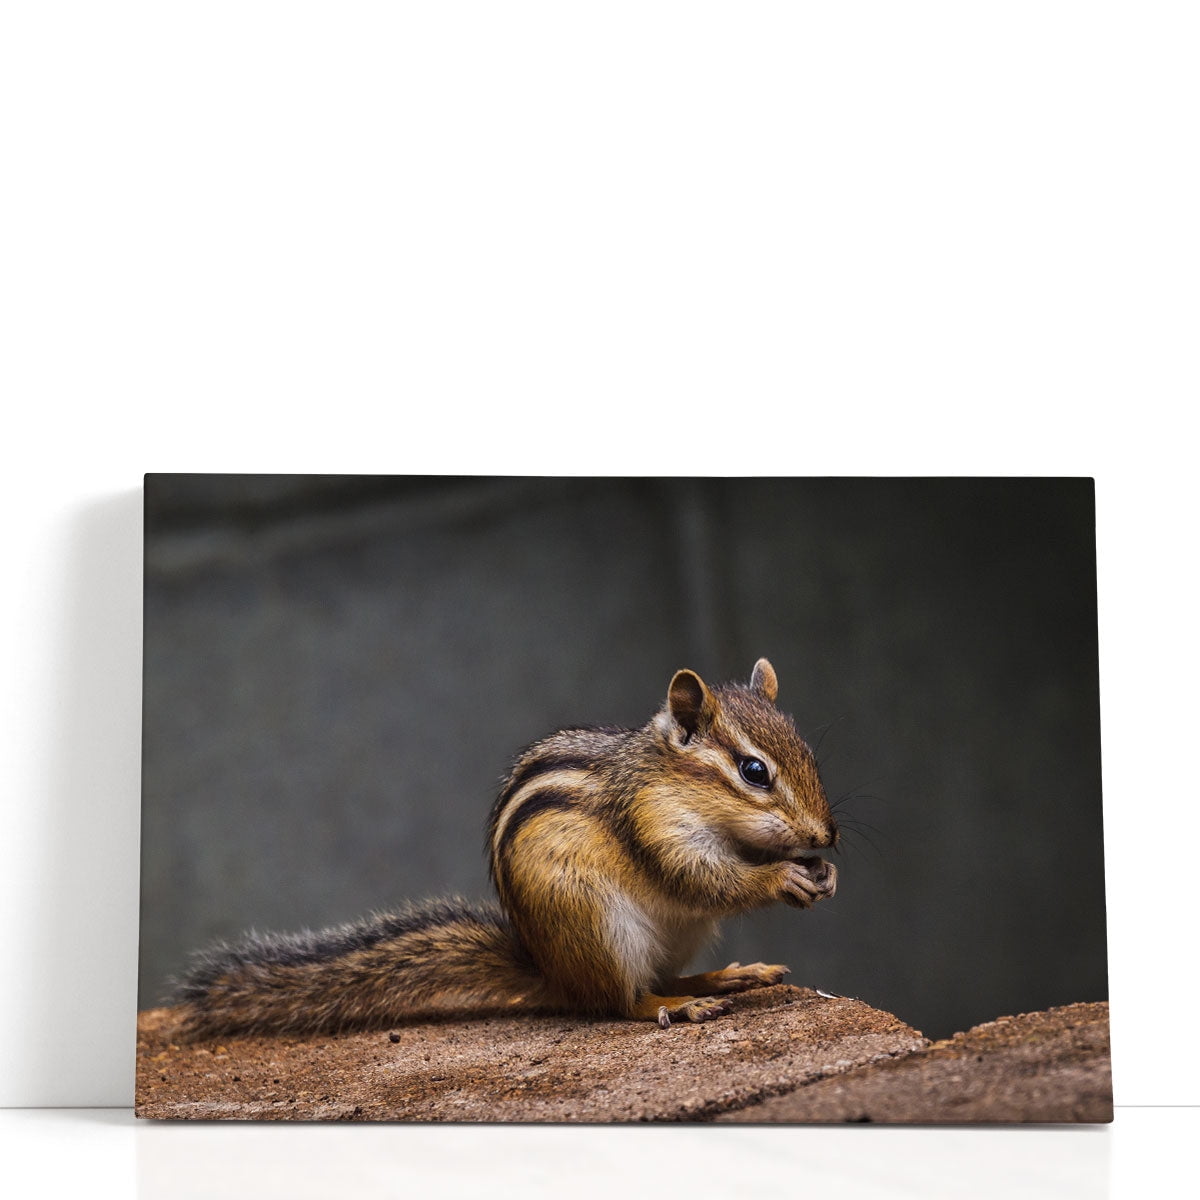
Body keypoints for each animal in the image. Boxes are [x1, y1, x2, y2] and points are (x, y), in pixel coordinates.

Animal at [173, 657, 839, 1038]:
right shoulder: (652, 825)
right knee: (621, 1000)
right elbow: (700, 878)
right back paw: (676, 1006)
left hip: (677, 935)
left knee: (665, 975)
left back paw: (724, 979)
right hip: (597, 924)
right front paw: (781, 877)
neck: (674, 783)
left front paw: (824, 873)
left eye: (809, 753)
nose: (824, 835)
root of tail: (553, 972)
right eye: (754, 771)